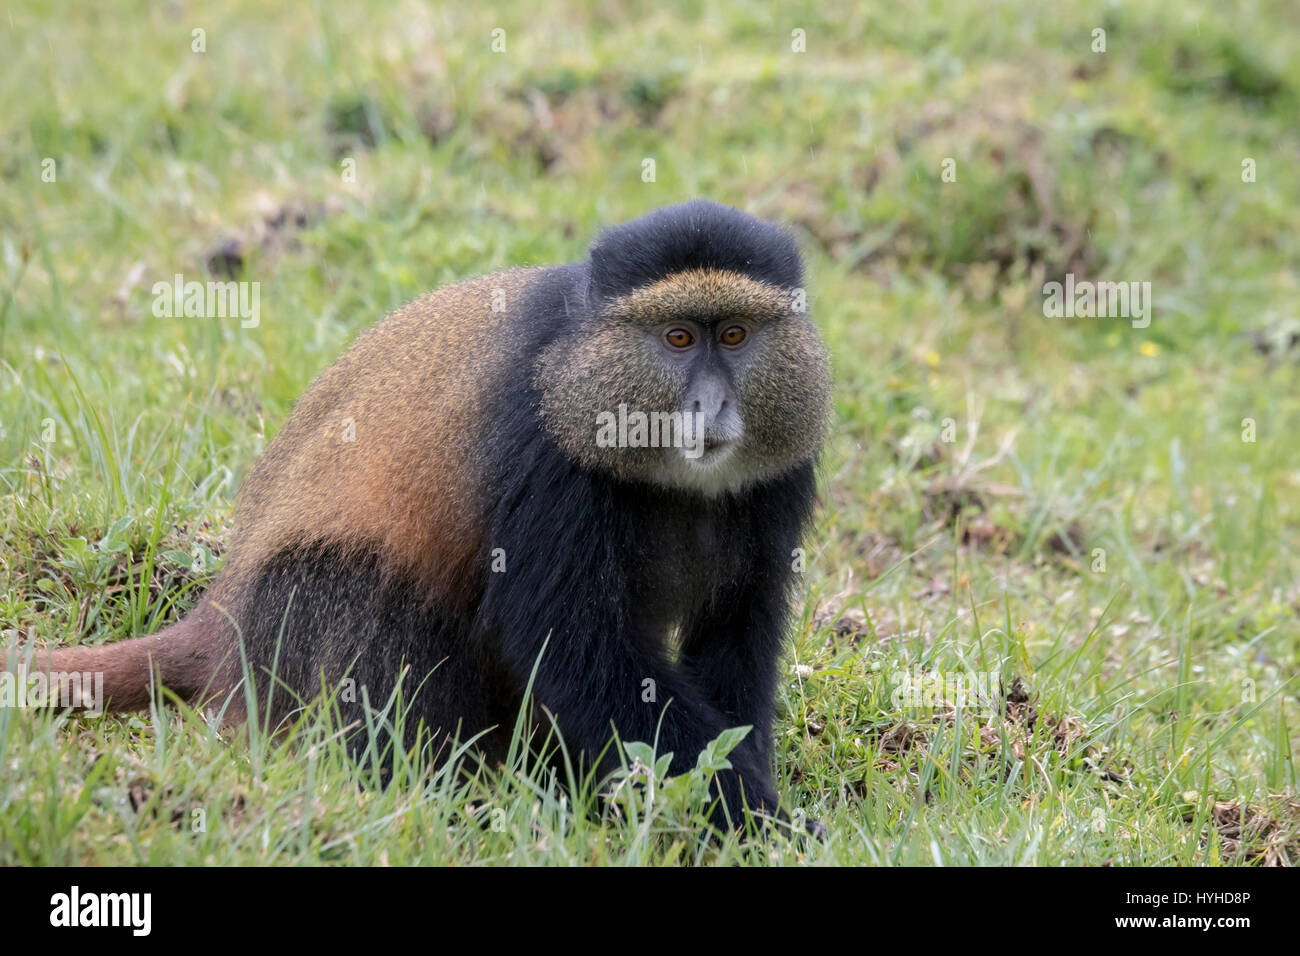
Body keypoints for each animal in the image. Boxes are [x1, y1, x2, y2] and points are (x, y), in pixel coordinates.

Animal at [9, 200, 831, 832]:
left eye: (735, 335)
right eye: (677, 337)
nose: (708, 407)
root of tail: (220, 620)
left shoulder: (782, 471)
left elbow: (738, 631)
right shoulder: (543, 448)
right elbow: (572, 638)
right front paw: (759, 821)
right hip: (295, 623)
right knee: (373, 601)